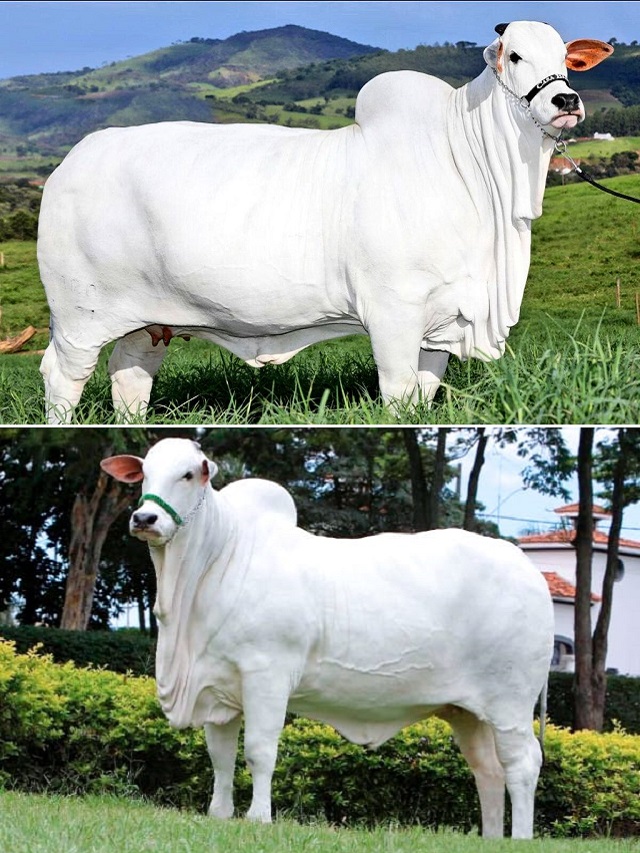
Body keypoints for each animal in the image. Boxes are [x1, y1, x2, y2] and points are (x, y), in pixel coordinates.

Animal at [38, 22, 612, 423]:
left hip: (149, 321)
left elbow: (423, 397)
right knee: (62, 376)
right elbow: (399, 395)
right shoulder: (393, 313)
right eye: (514, 55)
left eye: (566, 60)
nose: (566, 100)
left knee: (129, 376)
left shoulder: (442, 322)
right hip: (79, 316)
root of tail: (71, 162)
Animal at [101, 437, 554, 838]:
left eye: (189, 473)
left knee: (522, 764)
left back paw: (521, 837)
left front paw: (259, 818)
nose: (145, 519)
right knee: (487, 770)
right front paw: (219, 813)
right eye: (145, 474)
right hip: (468, 712)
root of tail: (526, 567)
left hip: (510, 704)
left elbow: (259, 751)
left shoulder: (266, 676)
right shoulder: (218, 690)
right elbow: (221, 758)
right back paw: (492, 836)